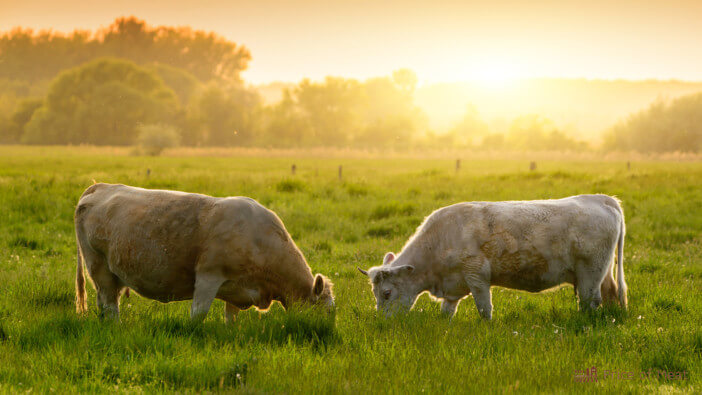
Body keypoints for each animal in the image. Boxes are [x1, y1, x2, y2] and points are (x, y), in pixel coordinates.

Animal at [360, 195, 628, 318]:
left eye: (386, 293)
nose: (381, 321)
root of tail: (603, 199)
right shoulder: (453, 286)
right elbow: (447, 312)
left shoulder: (476, 276)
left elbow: (484, 308)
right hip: (602, 274)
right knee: (611, 294)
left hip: (589, 276)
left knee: (590, 302)